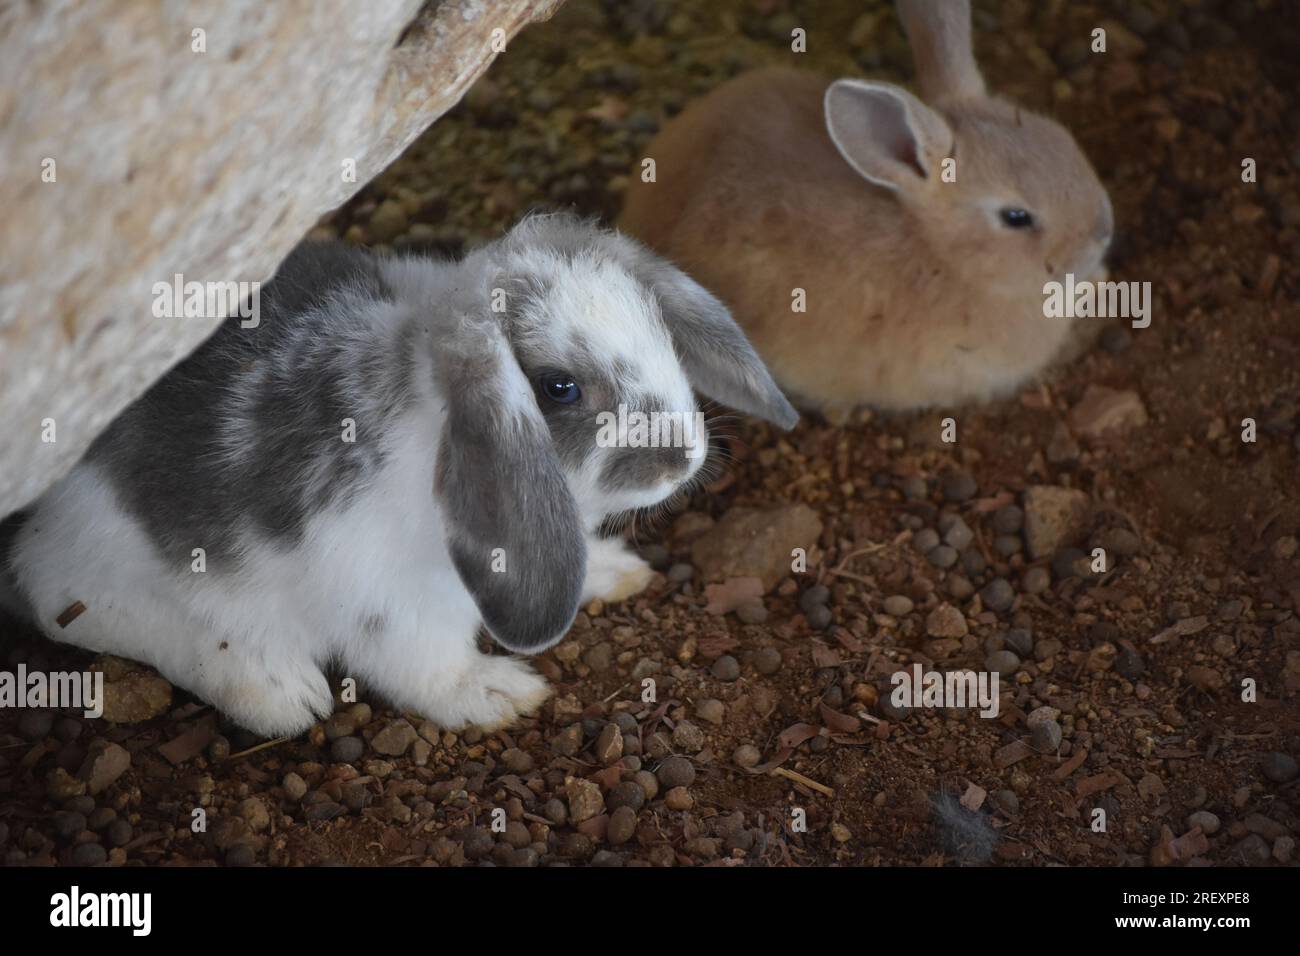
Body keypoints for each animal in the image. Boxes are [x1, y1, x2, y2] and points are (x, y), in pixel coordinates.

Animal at [1, 212, 798, 738]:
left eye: (658, 328)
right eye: (559, 387)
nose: (683, 456)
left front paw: (613, 571)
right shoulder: (392, 599)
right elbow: (427, 667)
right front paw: (498, 694)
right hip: (105, 558)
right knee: (73, 603)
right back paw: (274, 688)